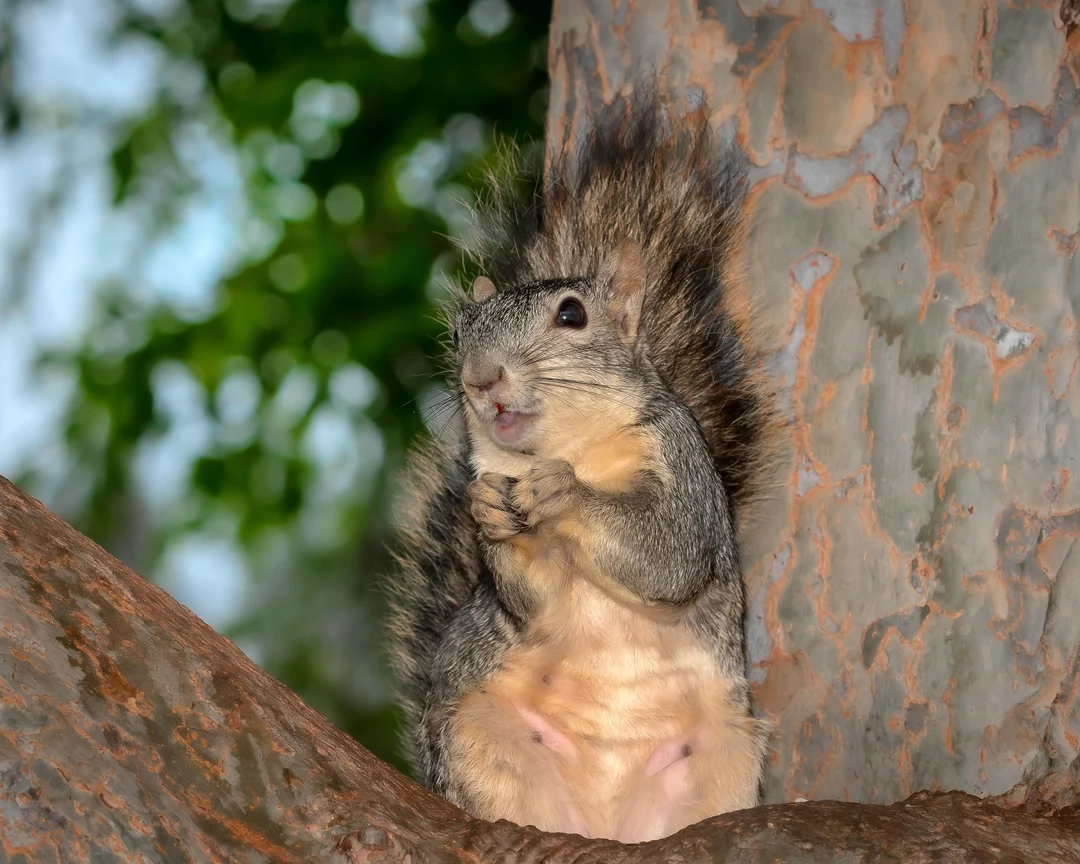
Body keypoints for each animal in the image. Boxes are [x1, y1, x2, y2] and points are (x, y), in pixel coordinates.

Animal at [385, 90, 774, 843]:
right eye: (459, 332)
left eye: (572, 314)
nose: (480, 378)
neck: (571, 448)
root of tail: (607, 827)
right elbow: (527, 600)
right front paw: (489, 514)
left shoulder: (684, 473)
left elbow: (667, 554)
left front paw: (567, 494)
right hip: (478, 734)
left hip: (728, 755)